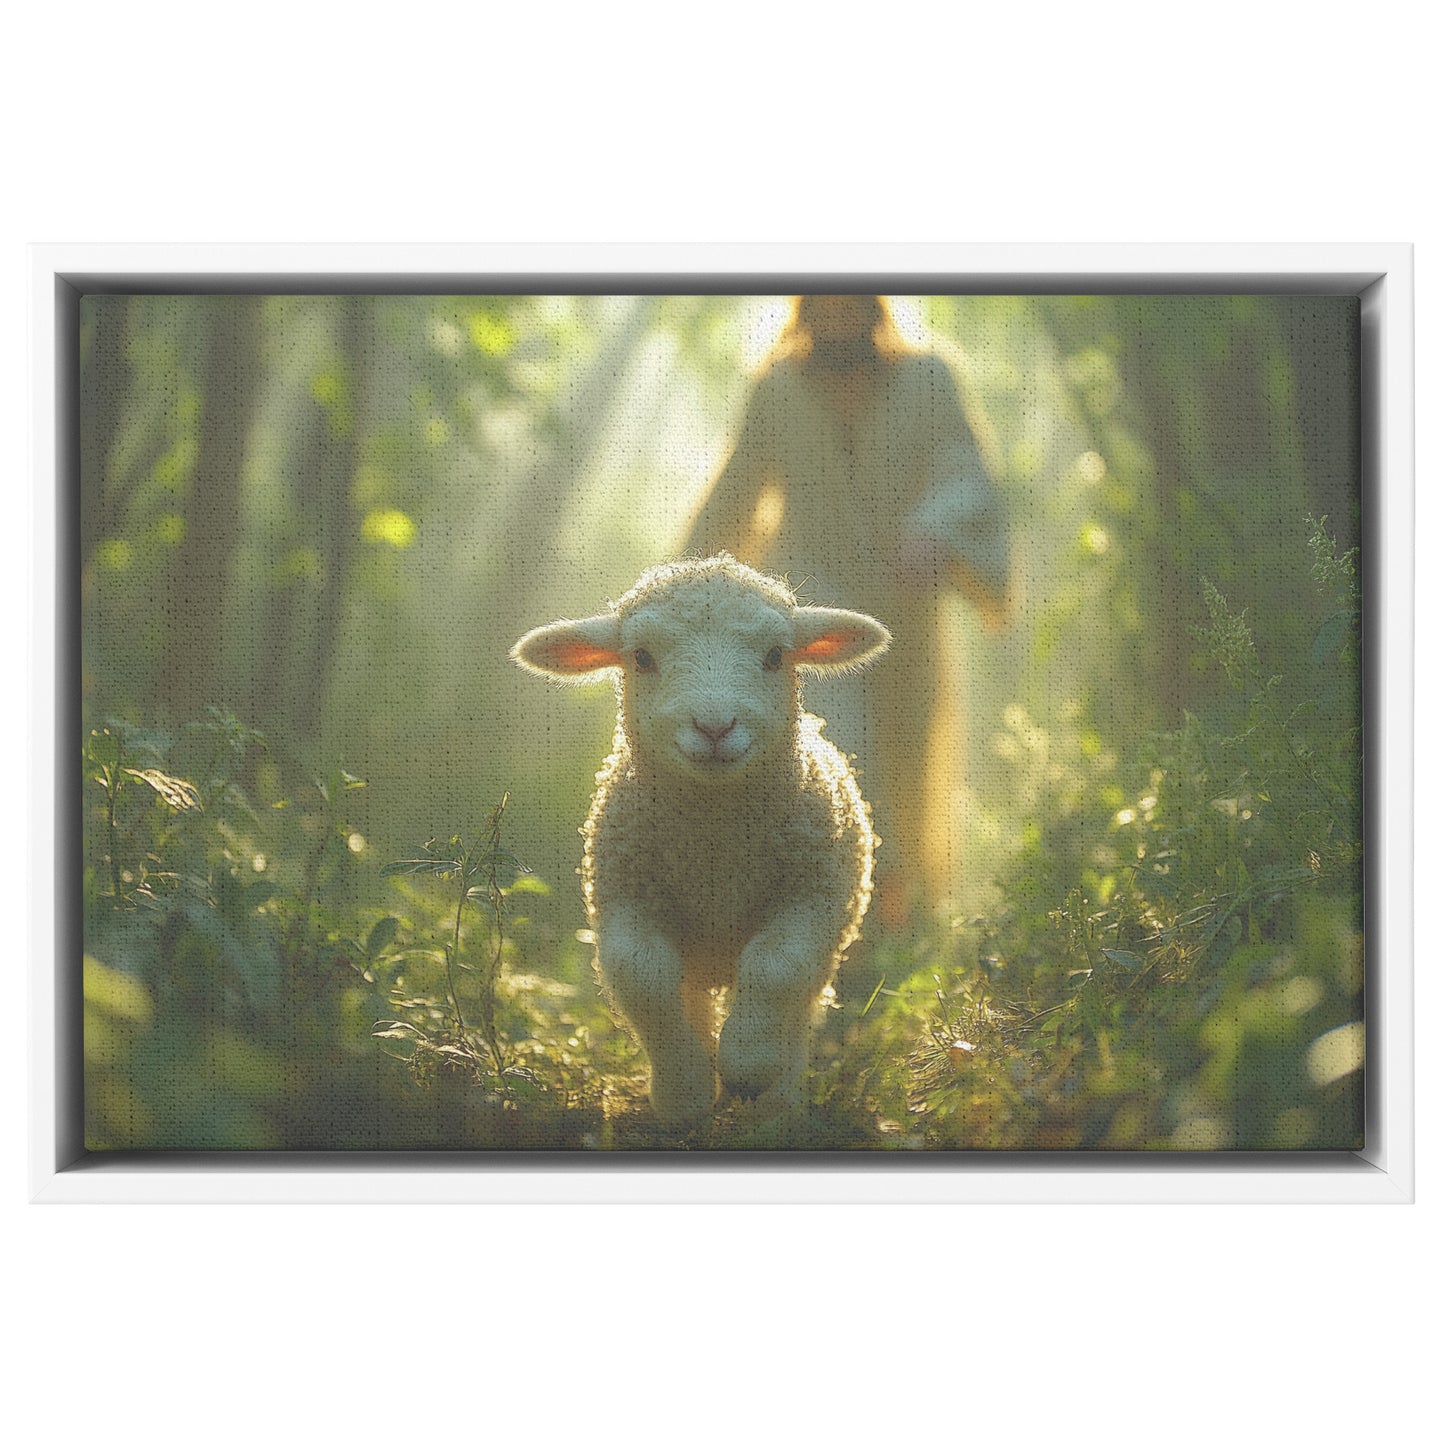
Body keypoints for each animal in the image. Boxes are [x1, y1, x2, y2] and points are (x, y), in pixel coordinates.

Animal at [512, 553, 890, 1126]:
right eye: (642, 657)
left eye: (775, 655)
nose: (715, 727)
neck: (715, 842)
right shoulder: (625, 895)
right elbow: (643, 977)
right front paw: (685, 1092)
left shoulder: (815, 895)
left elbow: (776, 966)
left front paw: (748, 1065)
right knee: (688, 996)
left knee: (798, 1007)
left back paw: (779, 1105)